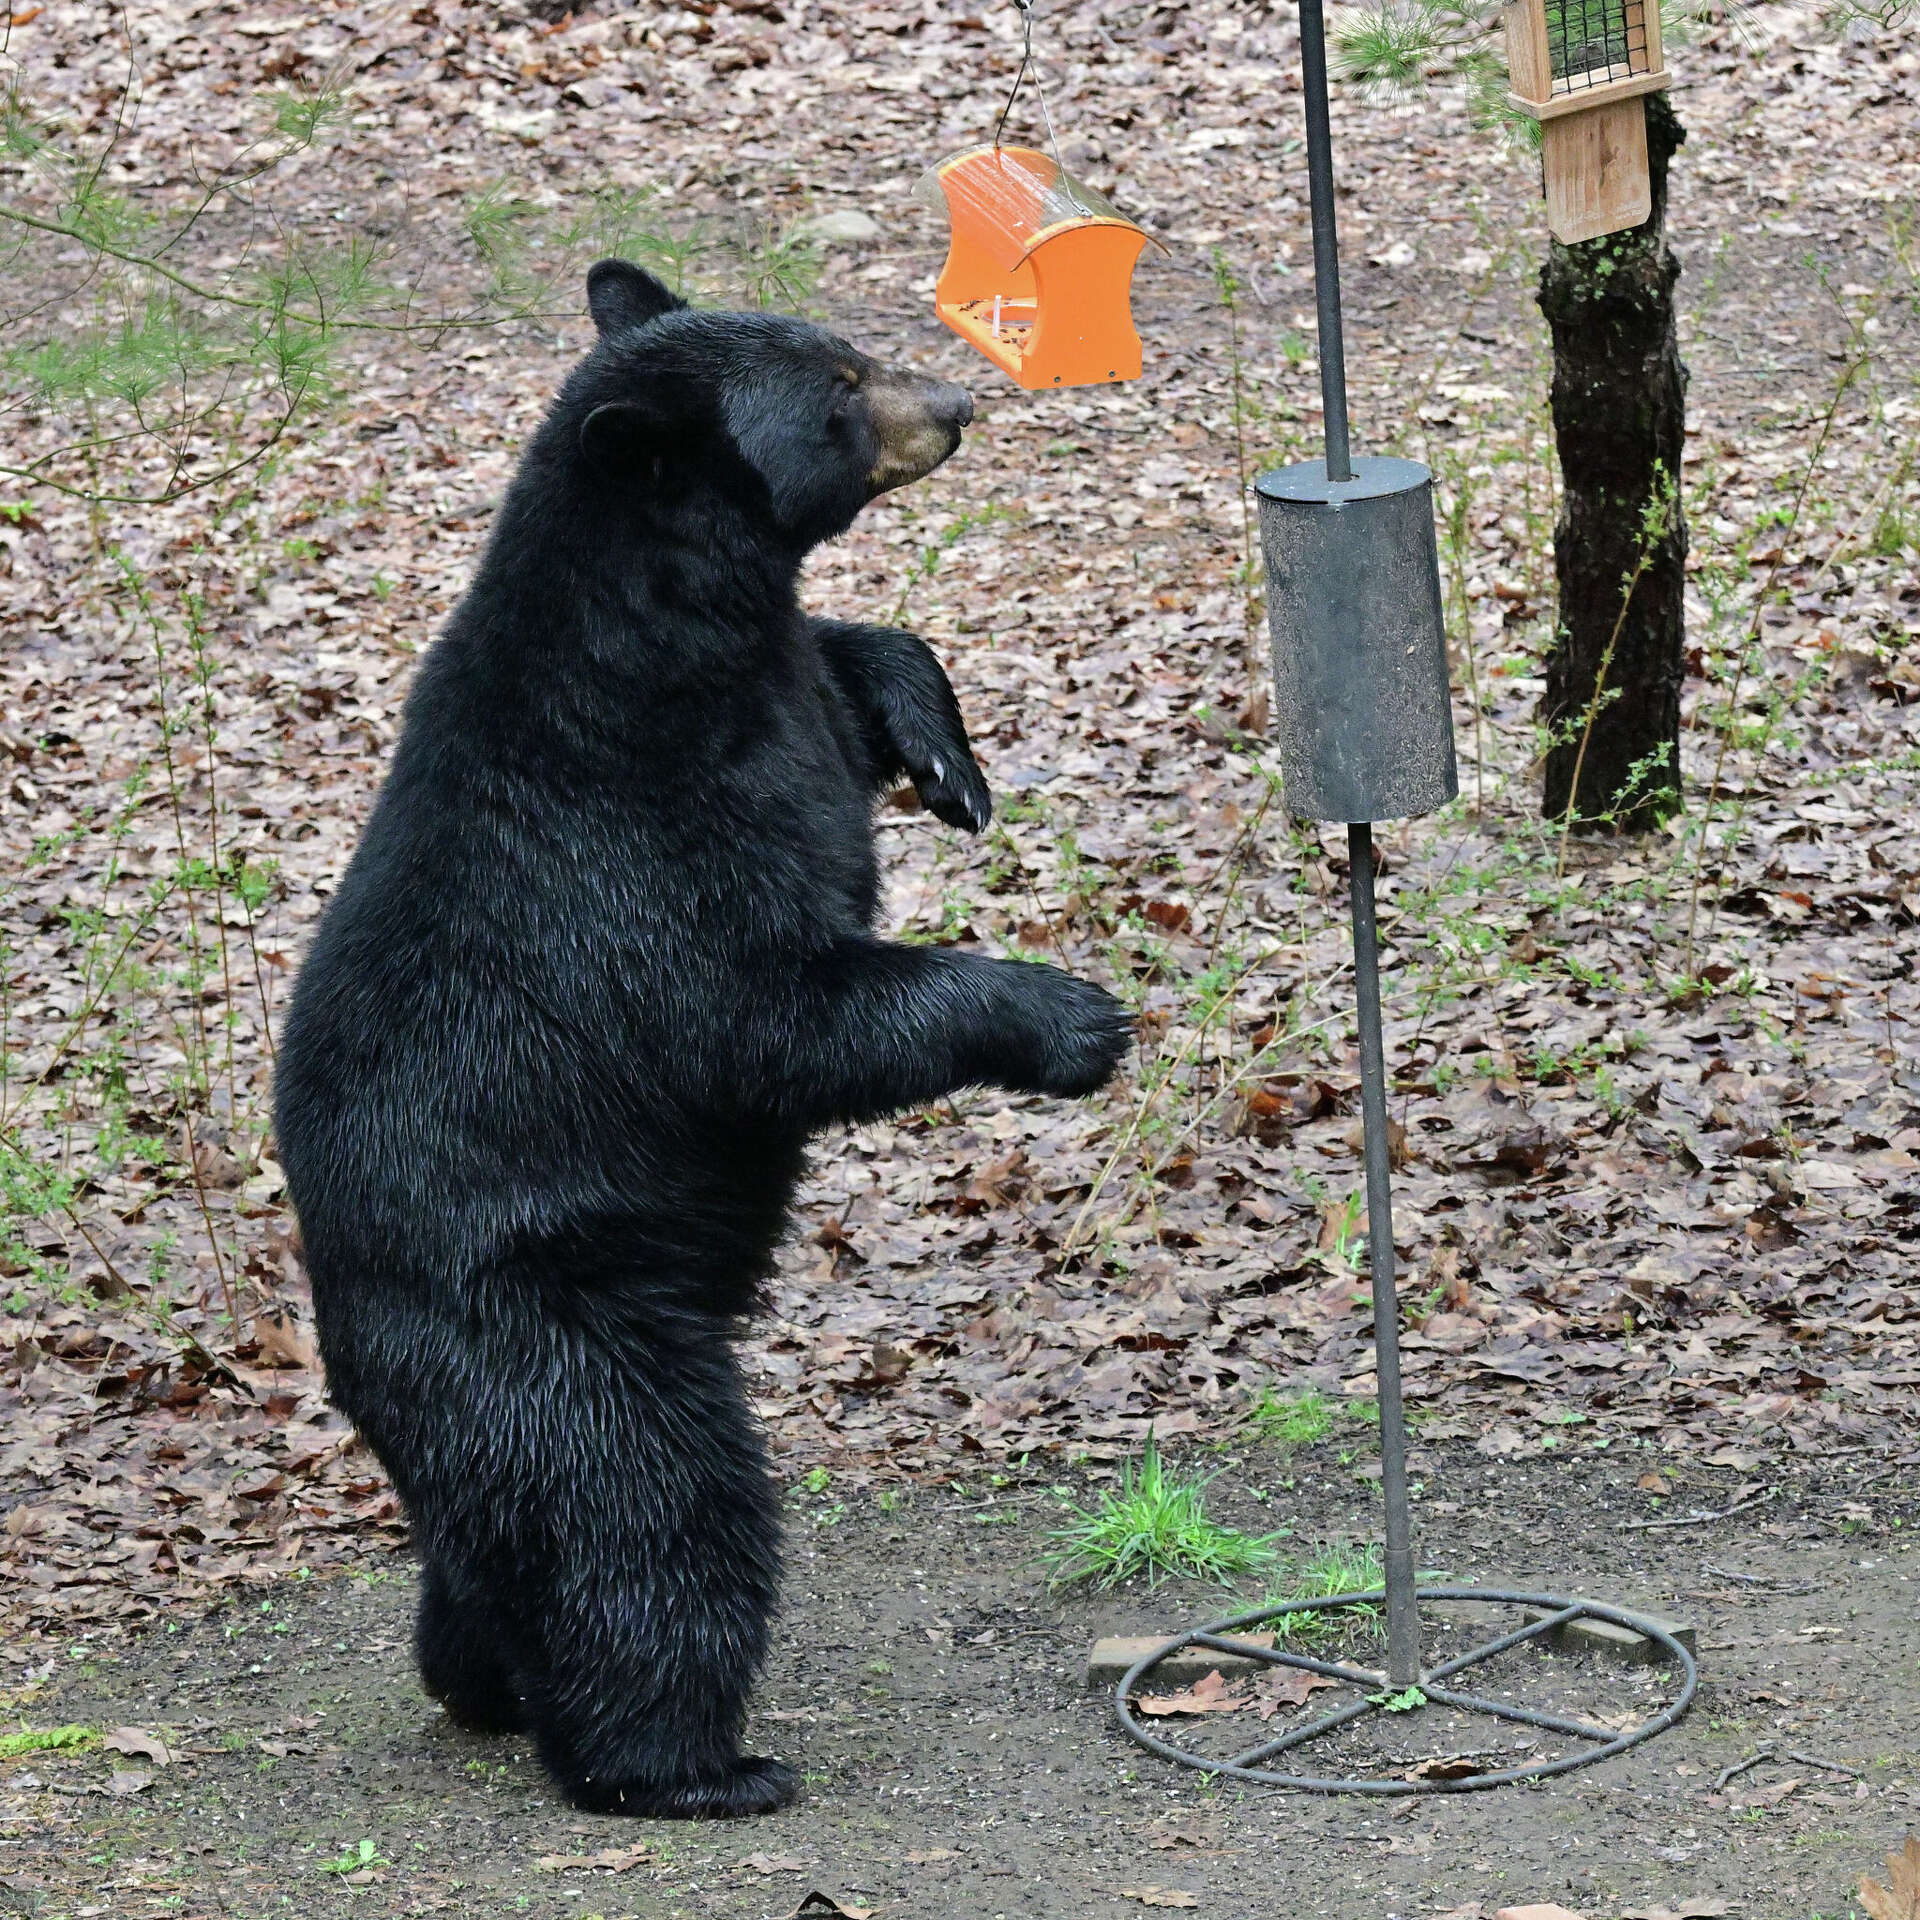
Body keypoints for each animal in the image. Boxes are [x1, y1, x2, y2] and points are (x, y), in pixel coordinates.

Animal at [273, 258, 1132, 1820]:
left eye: (848, 350)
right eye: (842, 391)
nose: (957, 401)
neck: (672, 646)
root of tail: (352, 1361)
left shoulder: (767, 699)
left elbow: (849, 669)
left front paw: (948, 752)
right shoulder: (629, 846)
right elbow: (771, 1016)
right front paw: (1071, 1017)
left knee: (504, 1560)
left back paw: (480, 1681)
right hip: (553, 1333)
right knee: (648, 1516)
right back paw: (687, 1764)